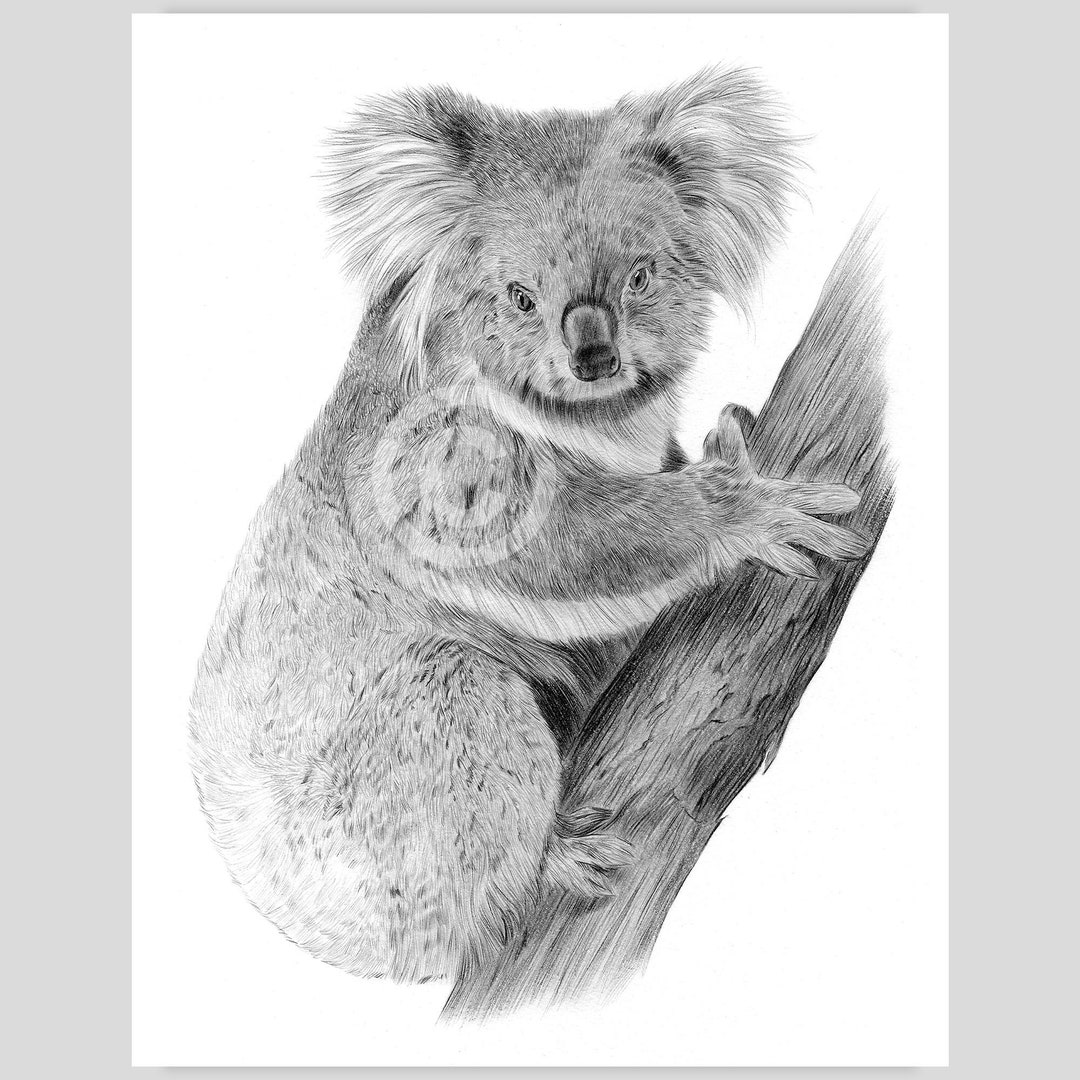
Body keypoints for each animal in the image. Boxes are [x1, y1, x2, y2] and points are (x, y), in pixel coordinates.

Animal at [189, 67, 867, 983]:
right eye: (519, 297)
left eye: (641, 276)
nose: (593, 355)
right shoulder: (433, 468)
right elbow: (563, 547)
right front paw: (749, 507)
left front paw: (731, 434)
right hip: (394, 796)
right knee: (464, 717)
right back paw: (551, 864)